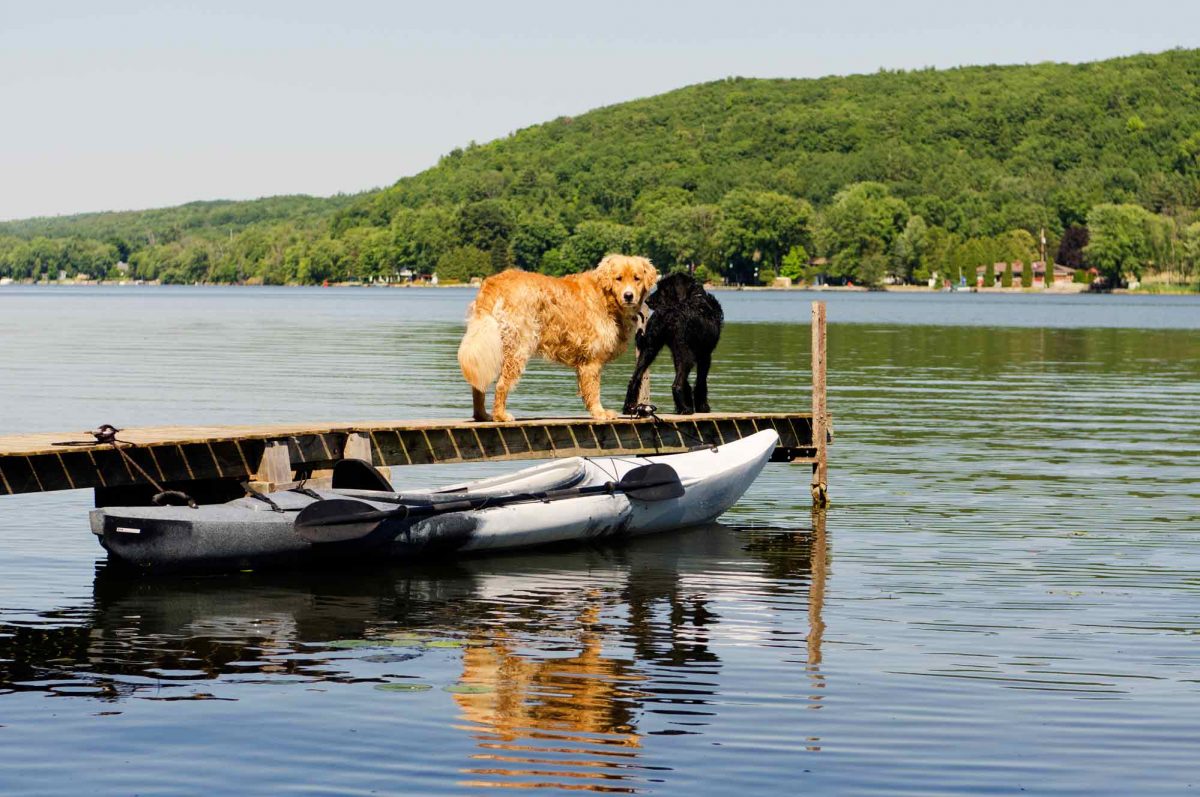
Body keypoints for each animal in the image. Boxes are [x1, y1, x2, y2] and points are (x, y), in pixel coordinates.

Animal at [453, 255, 657, 422]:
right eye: (618, 278)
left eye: (637, 278)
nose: (628, 296)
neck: (606, 298)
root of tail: (493, 282)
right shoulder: (592, 359)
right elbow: (593, 390)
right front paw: (600, 413)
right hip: (519, 346)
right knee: (502, 385)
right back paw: (500, 416)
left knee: (478, 384)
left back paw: (482, 415)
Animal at [628, 271, 720, 412]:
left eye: (663, 289)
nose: (647, 301)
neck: (695, 297)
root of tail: (667, 312)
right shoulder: (705, 355)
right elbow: (701, 381)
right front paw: (702, 407)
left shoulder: (677, 354)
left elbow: (686, 382)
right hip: (687, 357)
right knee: (676, 385)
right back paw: (685, 409)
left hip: (649, 349)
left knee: (634, 378)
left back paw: (628, 407)